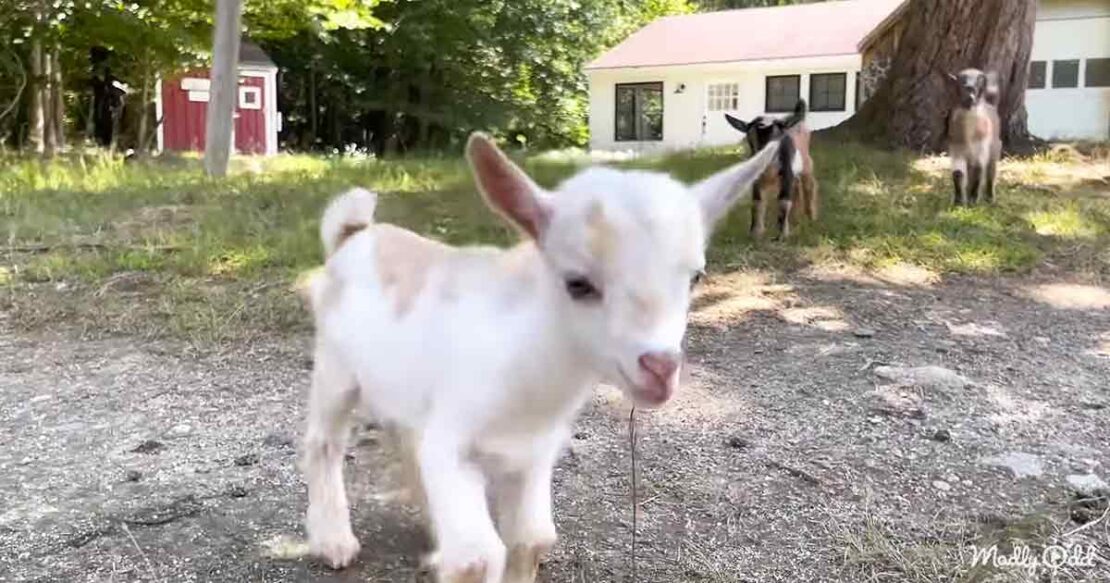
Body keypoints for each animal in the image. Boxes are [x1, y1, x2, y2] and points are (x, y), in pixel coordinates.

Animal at [296, 133, 781, 583]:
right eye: (578, 284)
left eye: (696, 277)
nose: (660, 369)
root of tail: (354, 234)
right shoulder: (453, 442)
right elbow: (476, 557)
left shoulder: (533, 453)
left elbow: (531, 538)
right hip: (335, 365)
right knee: (324, 442)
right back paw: (334, 541)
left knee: (406, 439)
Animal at [724, 99, 817, 240]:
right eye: (750, 139)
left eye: (776, 136)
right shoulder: (757, 179)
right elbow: (757, 202)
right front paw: (755, 232)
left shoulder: (786, 173)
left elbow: (783, 201)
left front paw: (782, 235)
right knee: (796, 189)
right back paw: (795, 219)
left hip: (806, 164)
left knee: (808, 186)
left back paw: (810, 219)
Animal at [946, 68, 1002, 206]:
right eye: (962, 85)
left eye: (977, 87)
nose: (970, 97)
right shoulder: (957, 148)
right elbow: (957, 173)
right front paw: (958, 201)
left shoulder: (980, 148)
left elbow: (978, 170)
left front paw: (972, 200)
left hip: (994, 148)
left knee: (990, 171)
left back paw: (989, 197)